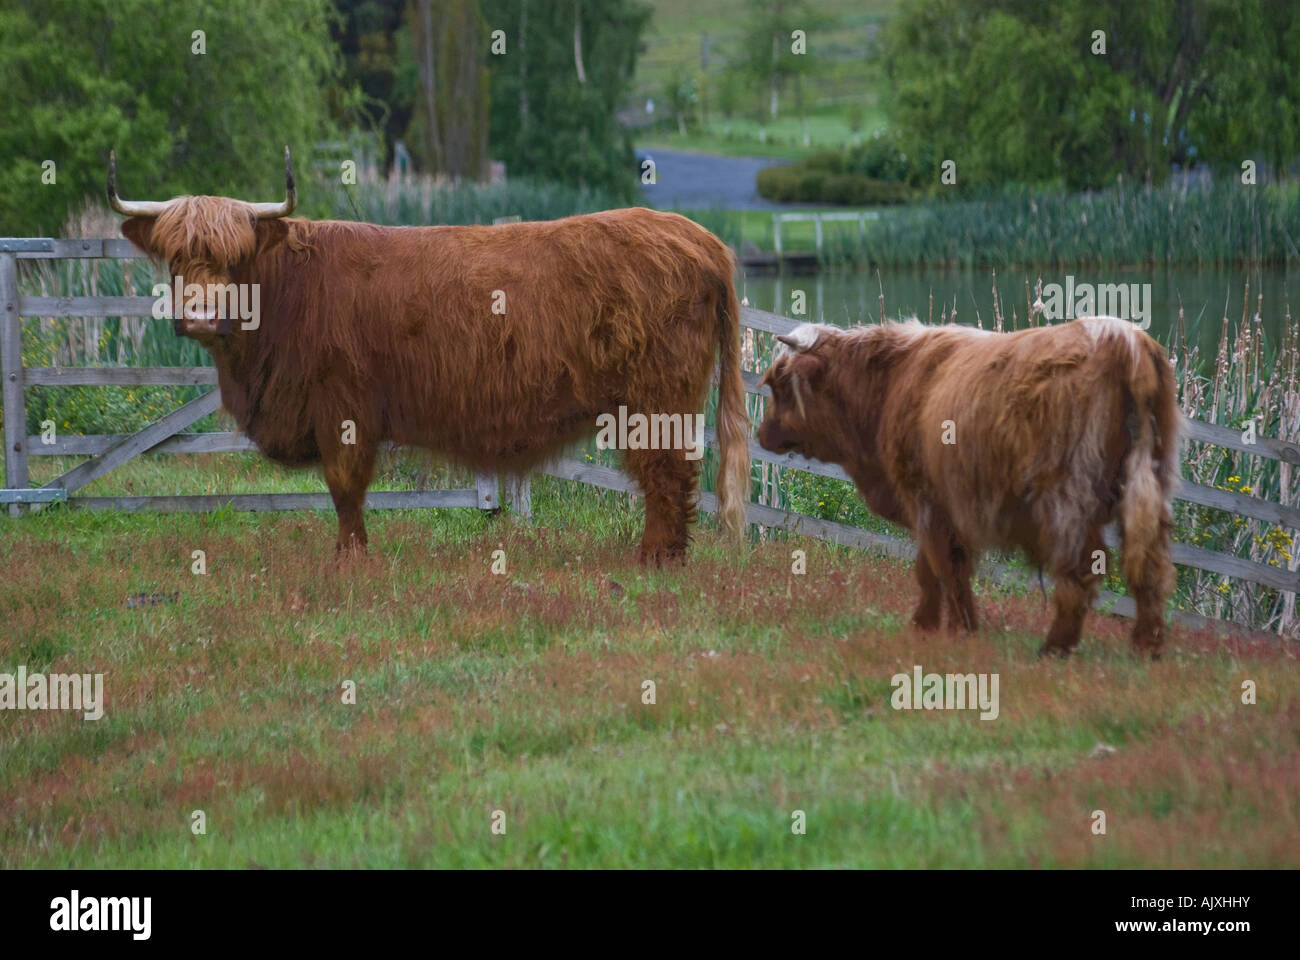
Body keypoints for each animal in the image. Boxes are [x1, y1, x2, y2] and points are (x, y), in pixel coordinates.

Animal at [107, 149, 750, 562]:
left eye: (234, 258)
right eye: (175, 256)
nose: (199, 315)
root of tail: (701, 239)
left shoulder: (342, 405)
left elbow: (344, 487)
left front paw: (350, 560)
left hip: (656, 397)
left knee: (668, 474)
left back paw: (656, 561)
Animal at [757, 317, 1180, 657]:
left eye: (779, 386)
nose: (762, 434)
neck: (891, 383)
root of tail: (1124, 339)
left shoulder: (927, 498)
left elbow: (944, 568)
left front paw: (960, 630)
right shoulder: (938, 507)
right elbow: (930, 568)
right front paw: (924, 626)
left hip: (1067, 496)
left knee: (1082, 569)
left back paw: (1054, 649)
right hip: (1148, 486)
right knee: (1150, 565)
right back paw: (1147, 648)